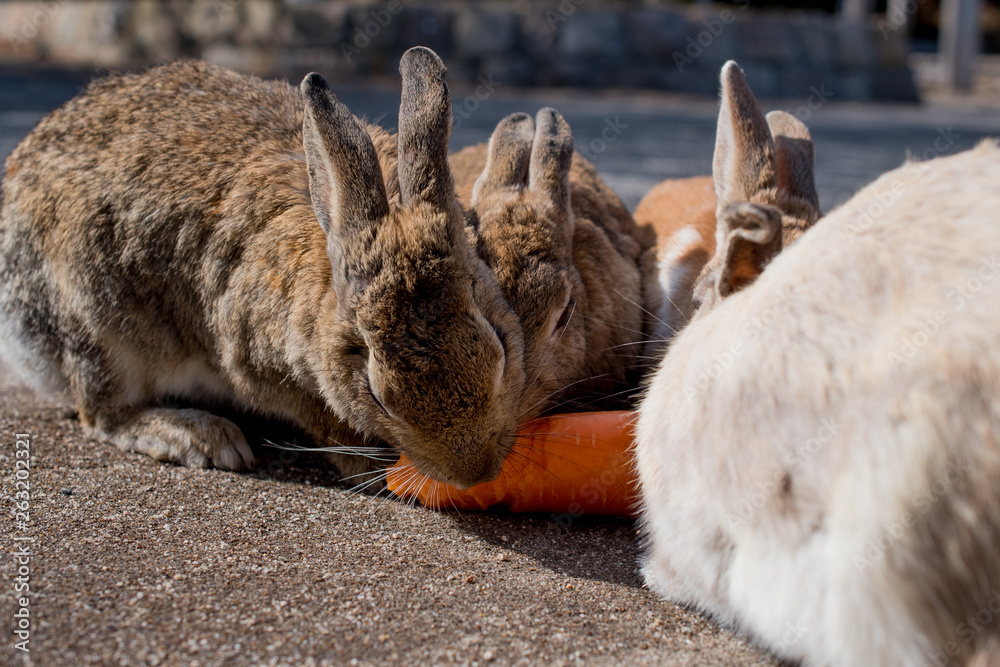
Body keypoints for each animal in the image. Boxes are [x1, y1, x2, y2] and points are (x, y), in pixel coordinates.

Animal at [0, 47, 542, 489]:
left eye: (499, 346)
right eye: (376, 394)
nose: (475, 473)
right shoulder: (254, 365)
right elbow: (317, 416)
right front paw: (370, 462)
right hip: (97, 325)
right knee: (103, 412)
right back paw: (201, 438)